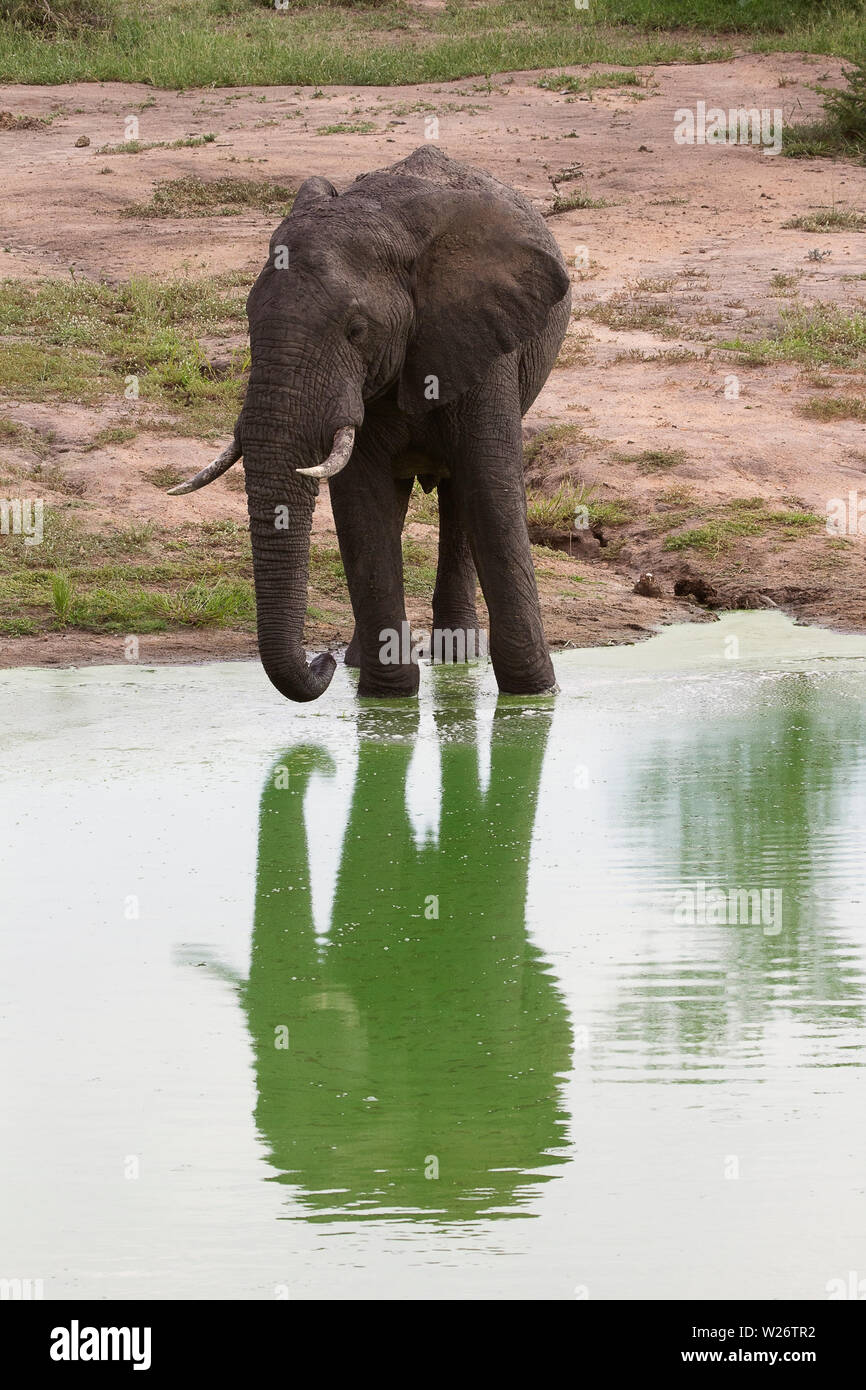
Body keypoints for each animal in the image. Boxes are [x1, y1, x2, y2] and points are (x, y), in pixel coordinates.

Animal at [169, 146, 572, 703]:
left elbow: (491, 493)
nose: (317, 660)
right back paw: (360, 661)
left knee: (461, 498)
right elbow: (362, 505)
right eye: (248, 321)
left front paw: (533, 697)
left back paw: (455, 655)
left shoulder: (483, 344)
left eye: (356, 330)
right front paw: (386, 698)